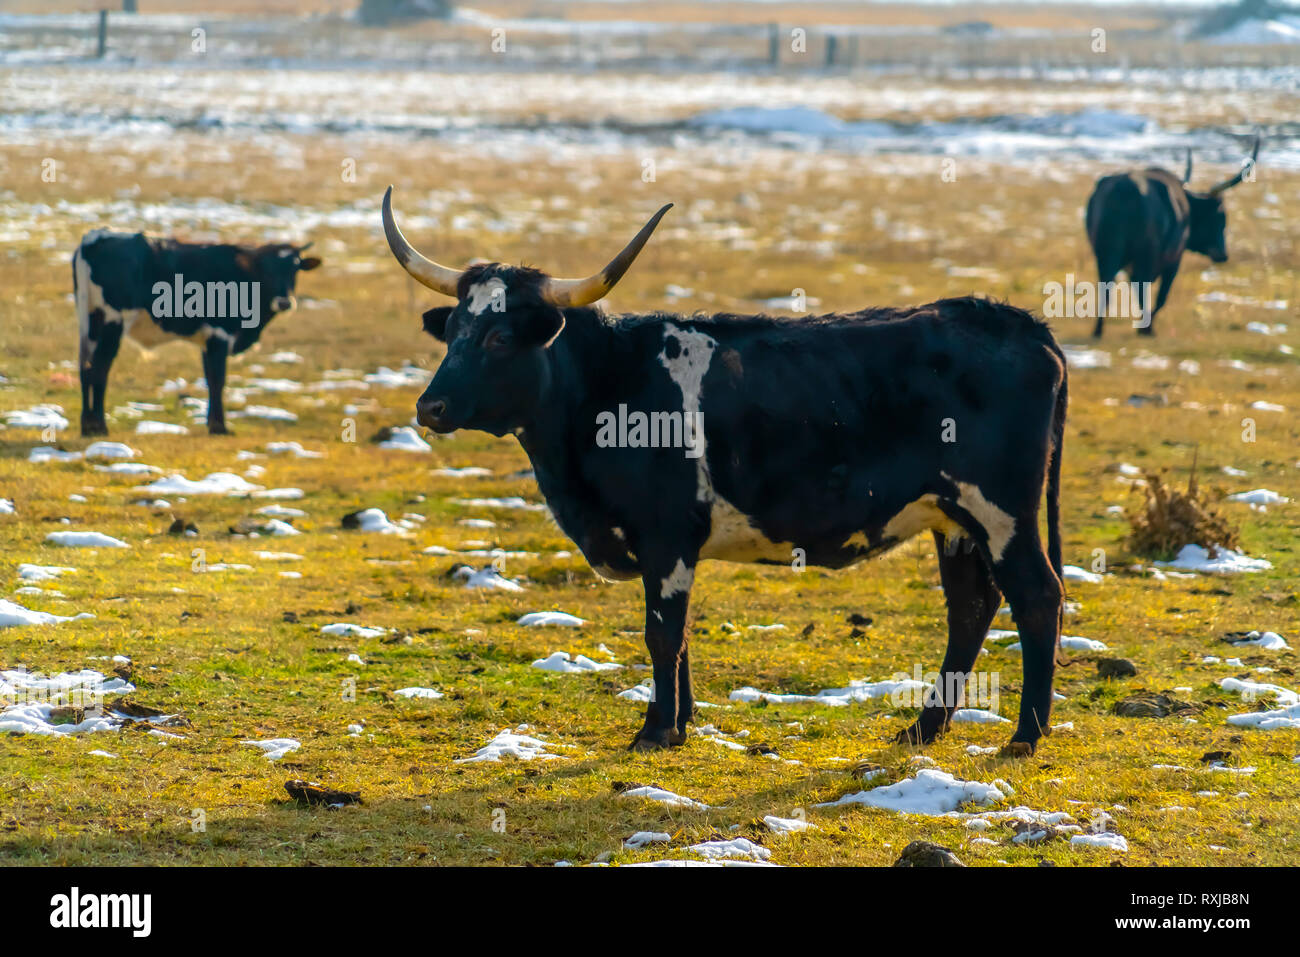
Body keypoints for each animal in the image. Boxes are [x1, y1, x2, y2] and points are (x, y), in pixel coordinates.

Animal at [72, 230, 322, 436]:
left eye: (295, 268)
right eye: (266, 269)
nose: (284, 302)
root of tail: (94, 238)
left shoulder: (207, 340)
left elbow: (210, 378)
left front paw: (213, 423)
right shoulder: (220, 333)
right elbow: (218, 379)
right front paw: (220, 427)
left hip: (90, 322)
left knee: (85, 368)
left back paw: (87, 425)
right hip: (112, 321)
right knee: (100, 368)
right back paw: (99, 426)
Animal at [383, 186, 1068, 757]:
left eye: (500, 337)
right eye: (456, 330)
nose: (430, 407)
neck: (607, 384)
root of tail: (1017, 322)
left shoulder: (664, 537)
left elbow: (663, 634)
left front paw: (654, 732)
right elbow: (681, 635)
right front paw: (681, 724)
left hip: (1001, 512)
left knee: (1036, 598)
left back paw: (1025, 737)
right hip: (953, 519)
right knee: (972, 608)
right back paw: (923, 729)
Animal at [1085, 135, 1259, 338]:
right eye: (1219, 216)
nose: (1223, 254)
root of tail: (1125, 189)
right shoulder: (1173, 260)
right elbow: (1161, 296)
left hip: (1107, 252)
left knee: (1106, 287)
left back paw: (1098, 330)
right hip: (1144, 255)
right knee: (1141, 288)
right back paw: (1144, 328)